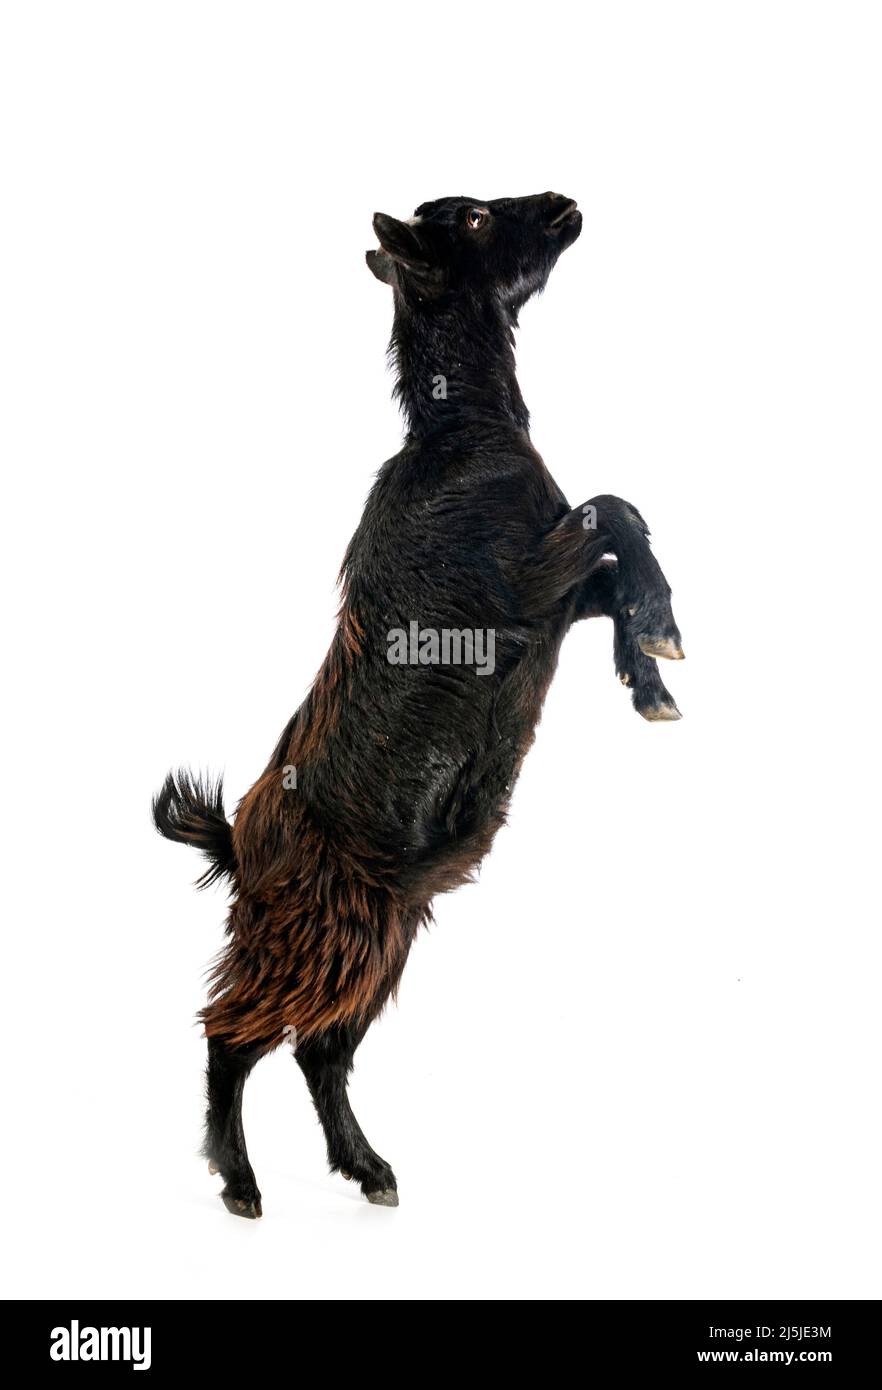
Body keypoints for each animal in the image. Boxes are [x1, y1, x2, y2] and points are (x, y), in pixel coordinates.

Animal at [153, 192, 684, 1217]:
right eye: (472, 219)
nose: (563, 205)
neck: (461, 439)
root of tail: (237, 847)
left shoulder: (553, 605)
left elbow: (612, 562)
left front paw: (649, 677)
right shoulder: (516, 590)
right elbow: (615, 508)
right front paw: (665, 644)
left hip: (382, 933)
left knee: (319, 1050)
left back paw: (368, 1169)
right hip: (314, 931)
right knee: (230, 1031)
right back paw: (240, 1182)